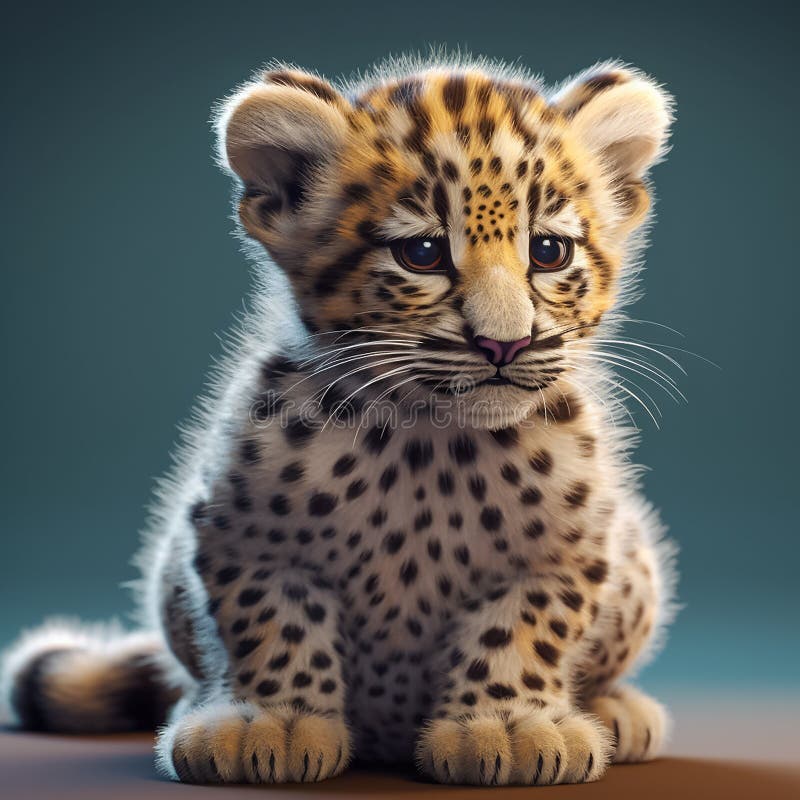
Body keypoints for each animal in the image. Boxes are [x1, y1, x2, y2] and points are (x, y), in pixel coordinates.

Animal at [1, 54, 678, 786]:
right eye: (422, 254)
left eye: (550, 251)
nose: (505, 345)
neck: (431, 443)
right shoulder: (241, 536)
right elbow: (273, 622)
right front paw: (273, 721)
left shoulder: (570, 550)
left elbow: (523, 628)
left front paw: (508, 722)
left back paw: (616, 711)